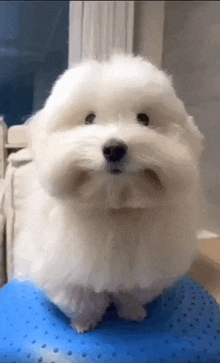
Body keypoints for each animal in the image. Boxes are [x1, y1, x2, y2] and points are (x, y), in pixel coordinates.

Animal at [13, 54, 203, 336]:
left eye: (143, 119)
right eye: (89, 119)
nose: (114, 149)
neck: (114, 204)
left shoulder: (145, 267)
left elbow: (130, 294)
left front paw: (132, 313)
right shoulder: (66, 268)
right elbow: (82, 298)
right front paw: (85, 323)